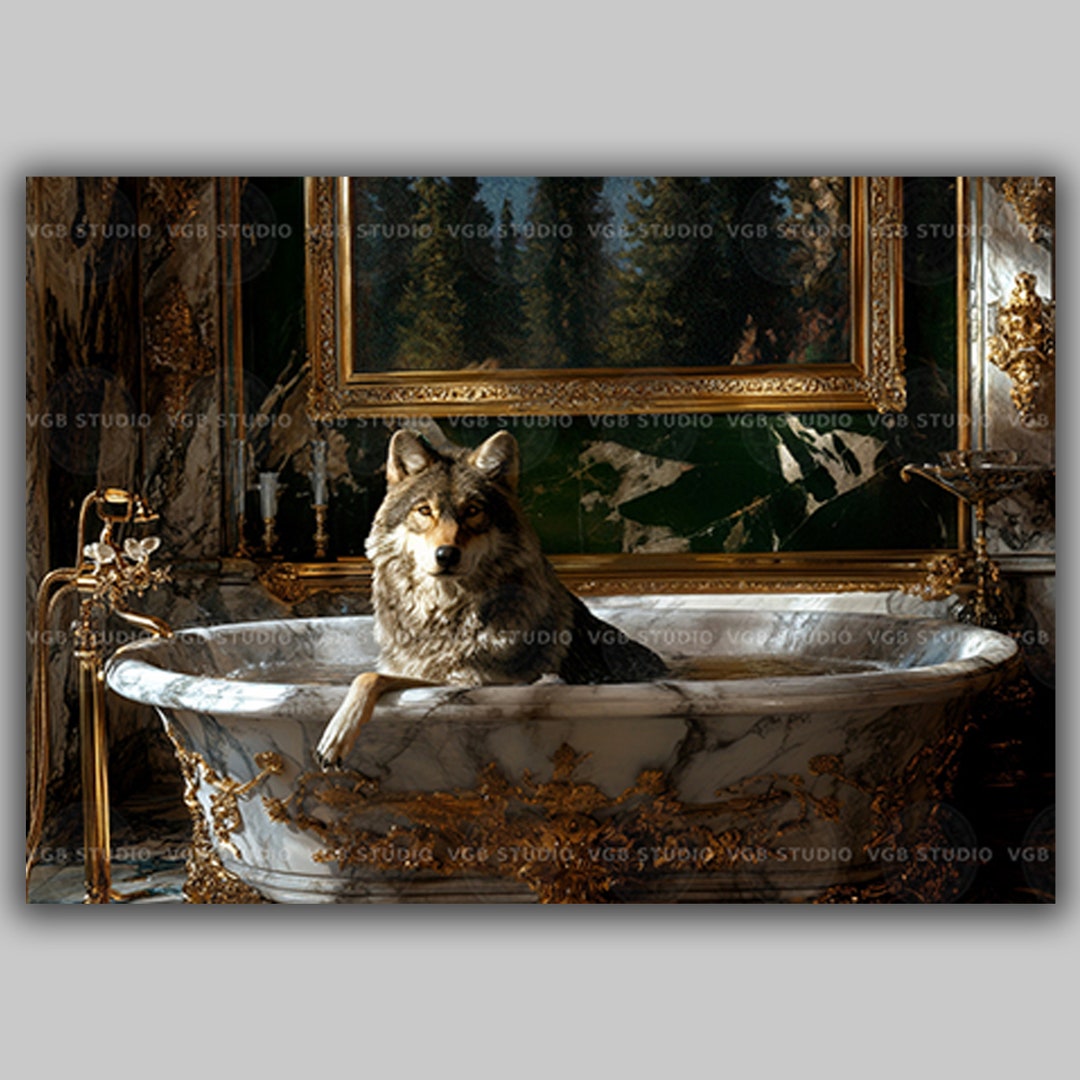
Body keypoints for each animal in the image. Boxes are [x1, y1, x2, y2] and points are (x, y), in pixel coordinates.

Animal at [315, 428, 668, 767]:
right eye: (425, 511)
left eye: (472, 511)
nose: (446, 554)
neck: (444, 615)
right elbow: (369, 675)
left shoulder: (479, 682)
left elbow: (370, 676)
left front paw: (335, 737)